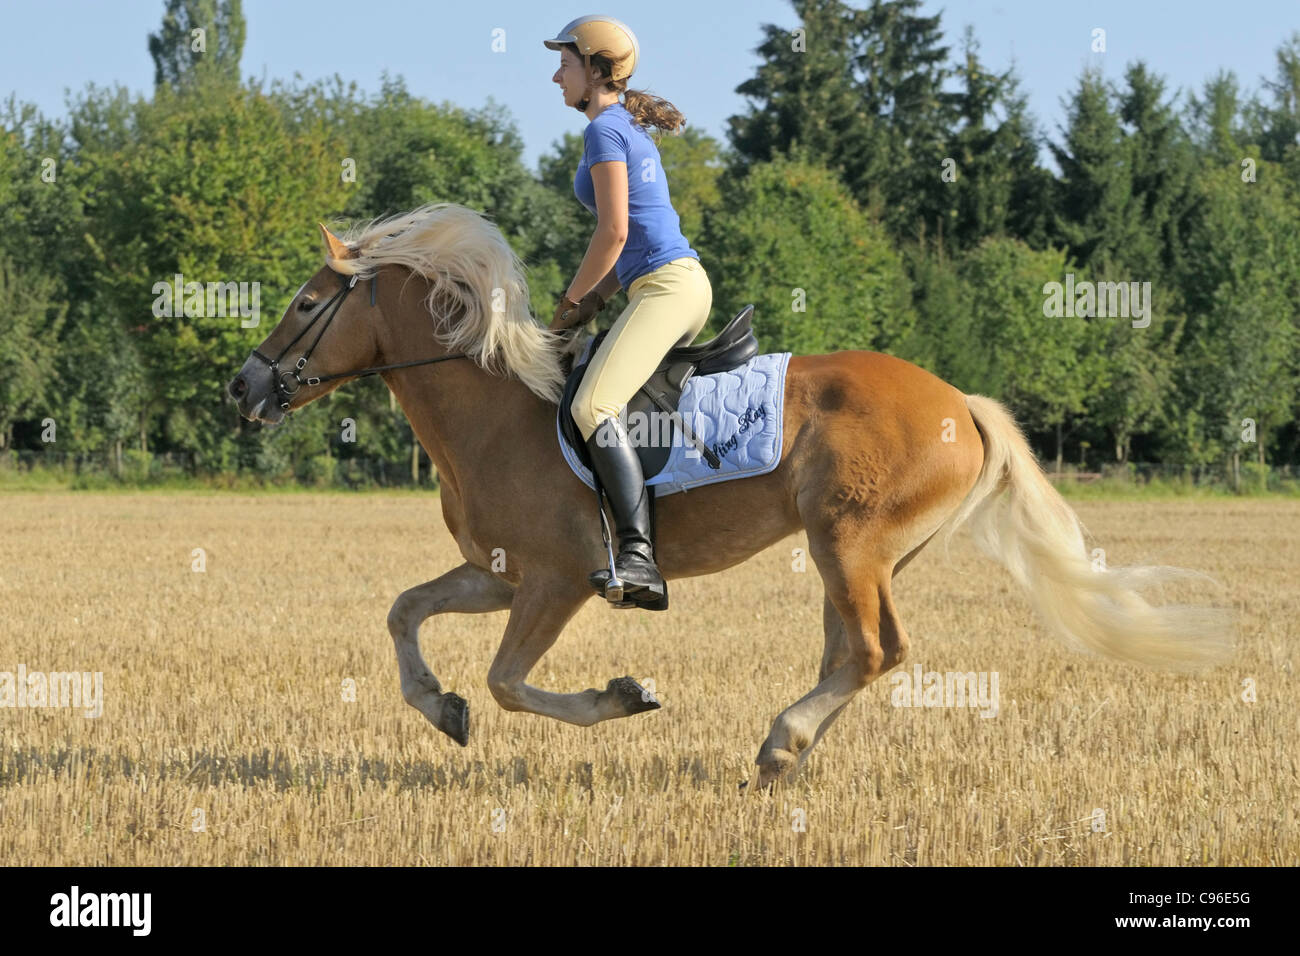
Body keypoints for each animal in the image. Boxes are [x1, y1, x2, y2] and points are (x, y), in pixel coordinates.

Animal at [227, 202, 1232, 789]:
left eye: (309, 300)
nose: (244, 386)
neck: (495, 407)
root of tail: (962, 407)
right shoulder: (501, 574)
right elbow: (405, 612)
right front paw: (440, 708)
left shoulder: (557, 580)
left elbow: (510, 682)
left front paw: (621, 696)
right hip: (856, 555)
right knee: (852, 650)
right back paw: (786, 751)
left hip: (848, 543)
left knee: (877, 649)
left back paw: (783, 742)